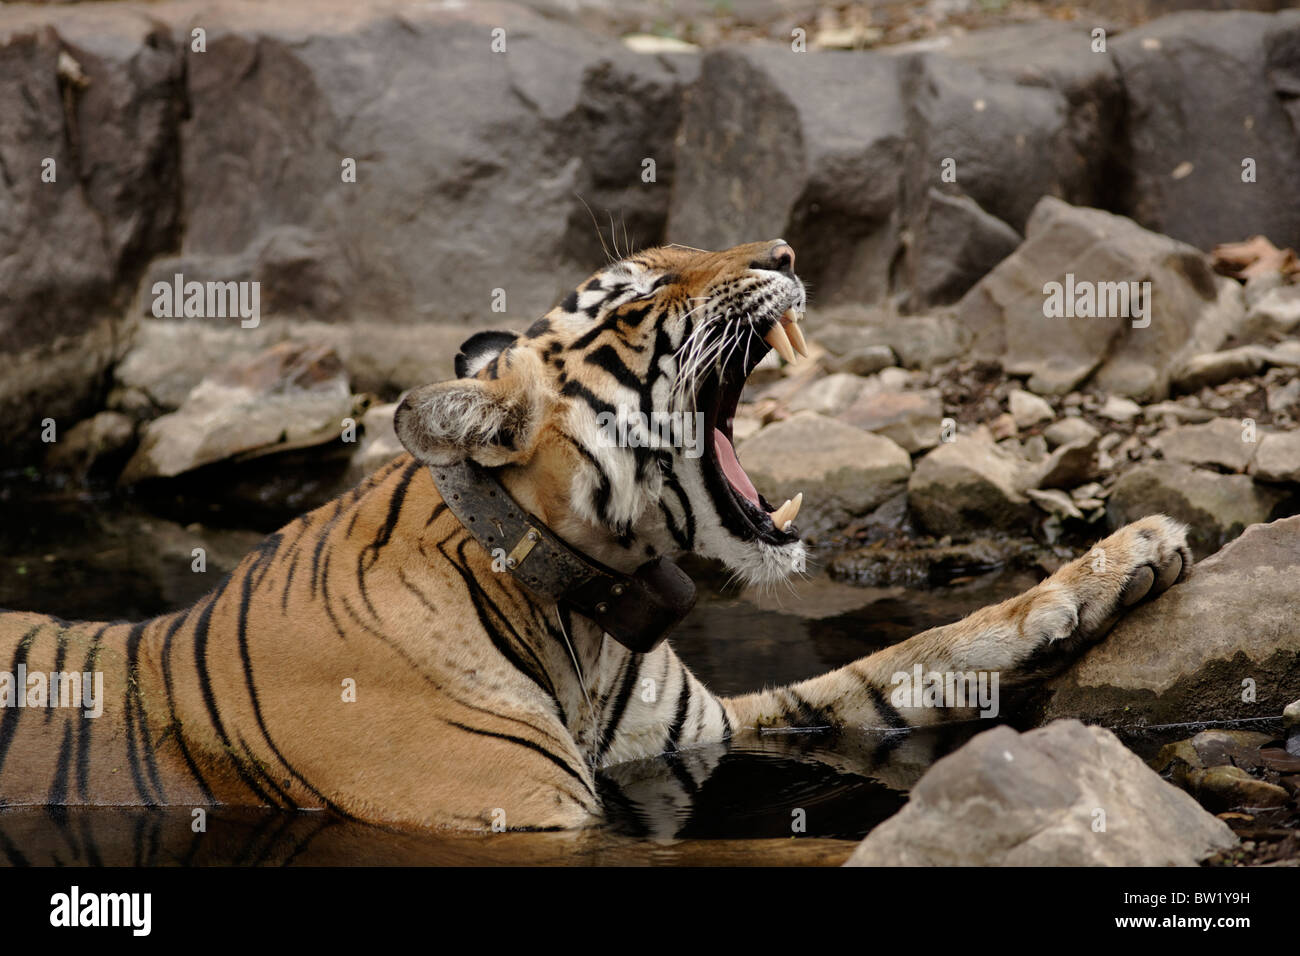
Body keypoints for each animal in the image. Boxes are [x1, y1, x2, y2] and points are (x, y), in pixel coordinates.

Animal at [0, 239, 1192, 832]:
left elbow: (918, 655)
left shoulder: (702, 730)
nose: (784, 244)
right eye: (636, 294)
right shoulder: (530, 820)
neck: (582, 610)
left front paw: (1131, 552)